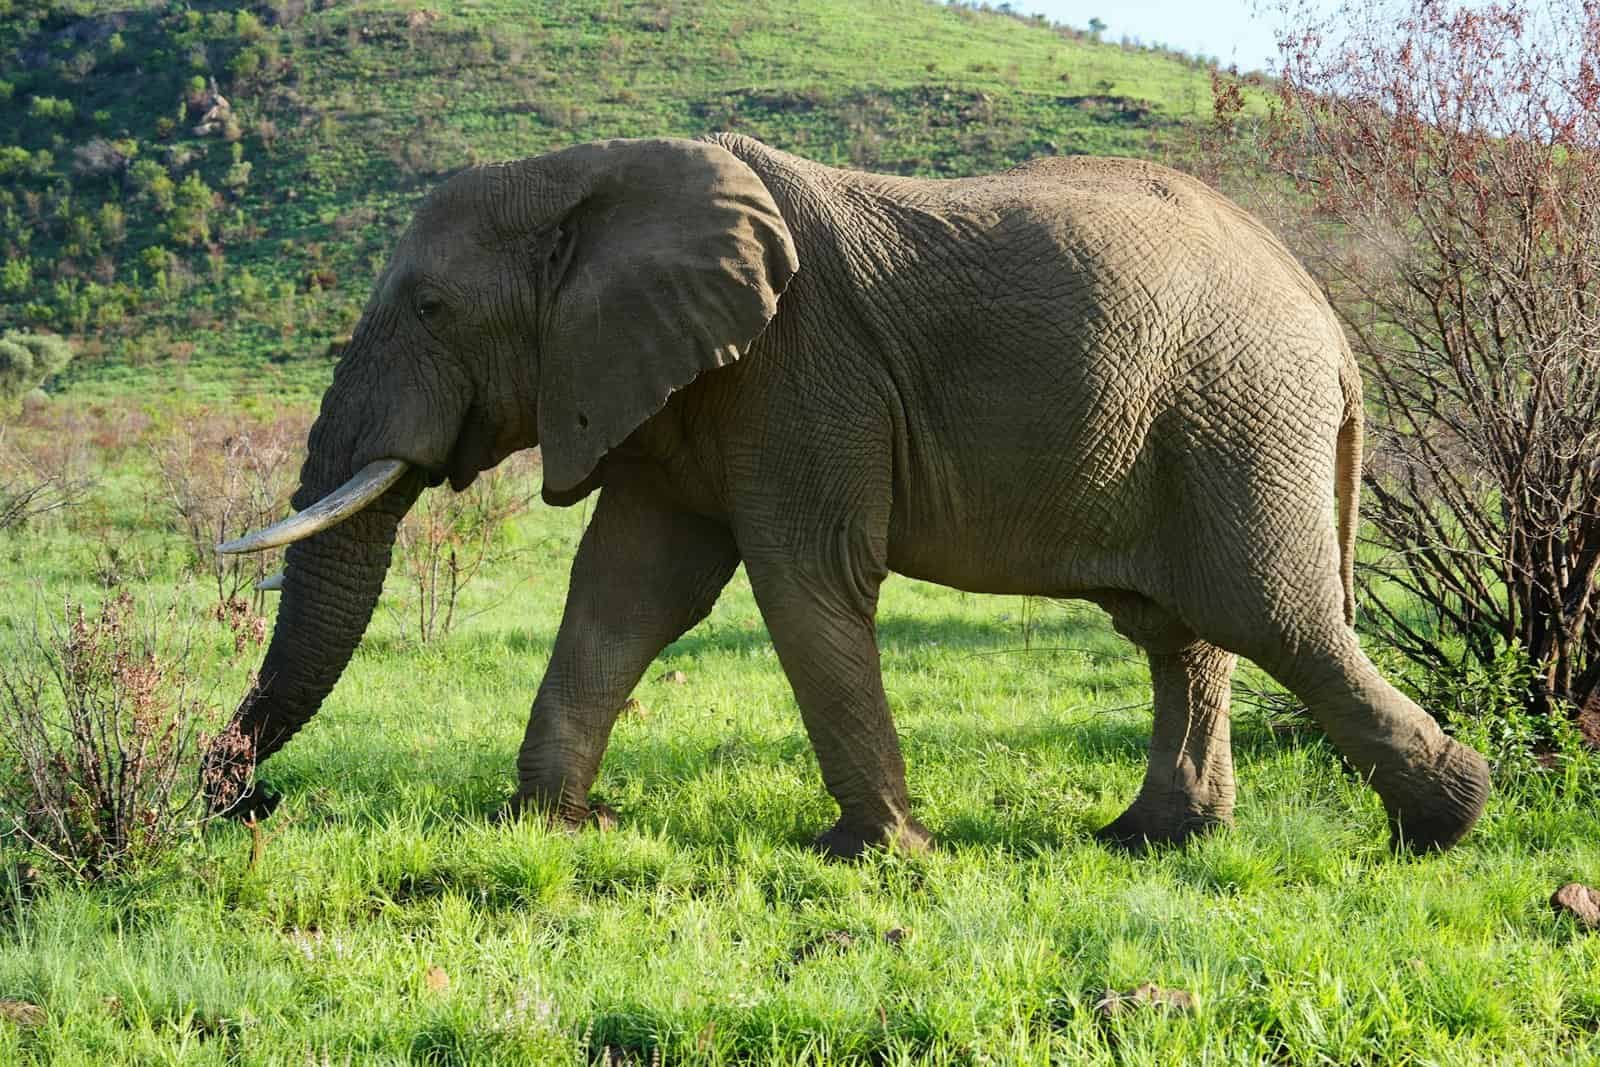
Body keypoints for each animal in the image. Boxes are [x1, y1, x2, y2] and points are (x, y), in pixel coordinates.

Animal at [213, 134, 1490, 858]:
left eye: (429, 308)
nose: (244, 802)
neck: (588, 176)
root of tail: (1327, 320)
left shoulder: (798, 366)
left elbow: (802, 577)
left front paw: (877, 853)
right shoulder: (678, 380)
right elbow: (628, 591)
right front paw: (554, 828)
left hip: (1236, 414)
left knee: (1276, 618)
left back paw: (1447, 821)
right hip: (1199, 423)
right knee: (1183, 631)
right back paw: (1154, 839)